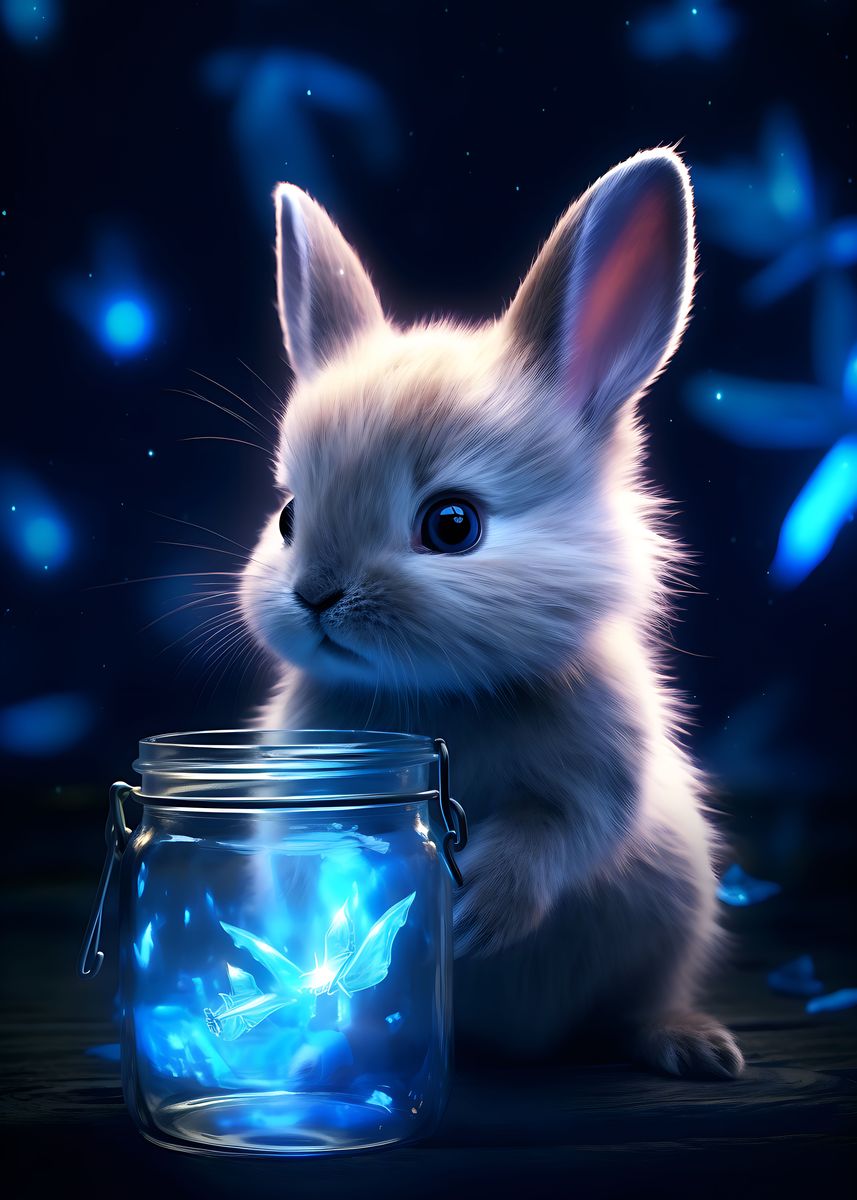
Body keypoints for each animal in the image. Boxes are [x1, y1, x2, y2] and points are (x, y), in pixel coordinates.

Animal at [239, 147, 745, 1080]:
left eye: (452, 525)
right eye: (289, 516)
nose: (316, 595)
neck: (436, 695)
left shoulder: (600, 774)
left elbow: (558, 837)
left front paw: (473, 911)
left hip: (671, 922)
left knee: (636, 1004)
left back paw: (690, 1045)